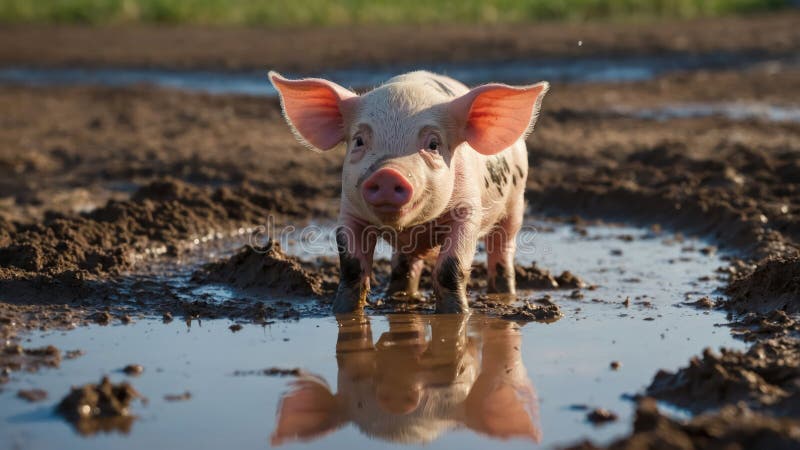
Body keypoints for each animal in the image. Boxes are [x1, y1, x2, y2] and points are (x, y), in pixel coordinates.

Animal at [269, 70, 549, 313]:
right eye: (359, 140)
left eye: (433, 144)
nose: (387, 173)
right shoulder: (349, 212)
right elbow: (351, 268)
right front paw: (342, 312)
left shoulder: (467, 212)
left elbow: (450, 268)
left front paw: (457, 315)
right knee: (404, 263)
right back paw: (399, 296)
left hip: (515, 204)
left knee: (502, 249)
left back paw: (503, 294)